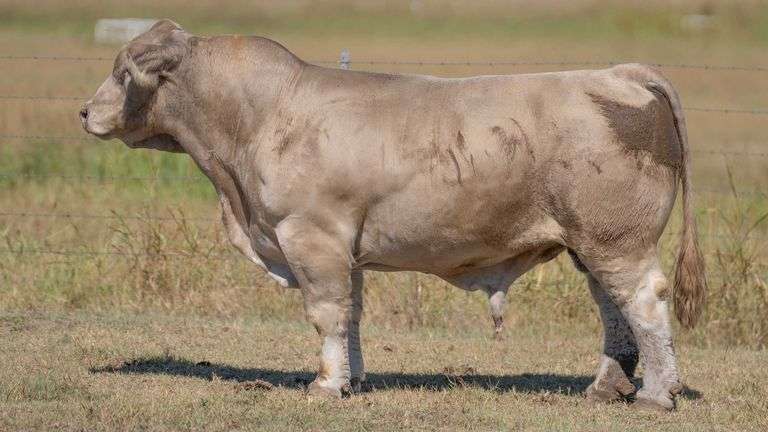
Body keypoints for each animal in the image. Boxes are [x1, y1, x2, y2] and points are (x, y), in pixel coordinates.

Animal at [80, 20, 707, 411]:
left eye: (121, 72)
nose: (85, 111)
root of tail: (616, 72)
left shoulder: (312, 238)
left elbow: (327, 314)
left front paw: (326, 385)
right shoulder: (343, 248)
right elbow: (352, 314)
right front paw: (354, 379)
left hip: (616, 238)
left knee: (644, 302)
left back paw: (657, 394)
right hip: (590, 242)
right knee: (613, 309)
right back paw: (606, 388)